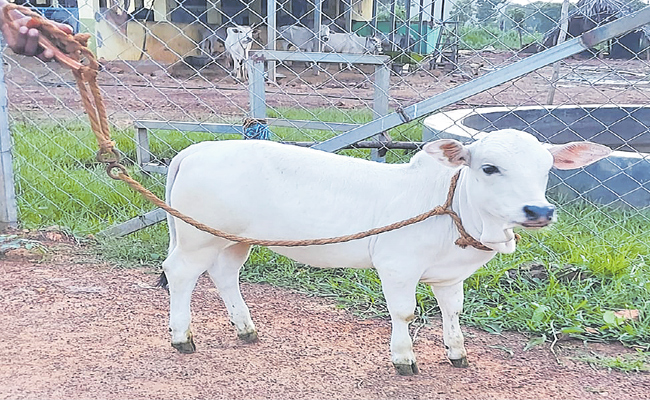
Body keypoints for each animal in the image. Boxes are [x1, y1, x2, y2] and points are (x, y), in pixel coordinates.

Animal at [159, 130, 610, 375]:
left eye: (547, 170)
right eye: (489, 168)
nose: (539, 211)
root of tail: (197, 150)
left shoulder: (450, 277)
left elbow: (453, 311)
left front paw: (457, 353)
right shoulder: (397, 268)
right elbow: (405, 312)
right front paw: (405, 359)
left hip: (233, 239)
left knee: (225, 275)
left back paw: (245, 329)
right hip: (197, 238)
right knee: (179, 273)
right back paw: (182, 337)